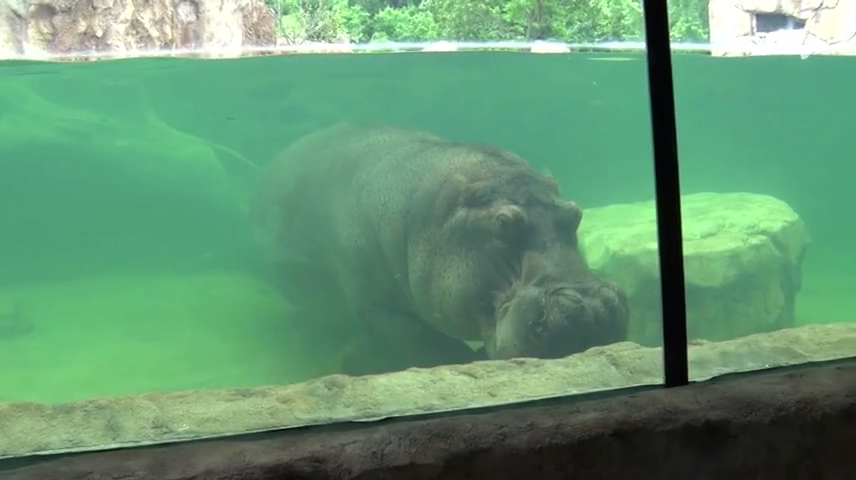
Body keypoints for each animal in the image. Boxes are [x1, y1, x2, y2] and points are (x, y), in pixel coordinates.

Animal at [250, 124, 629, 376]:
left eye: (575, 214)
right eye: (503, 224)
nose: (592, 309)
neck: (421, 209)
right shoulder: (381, 308)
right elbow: (436, 349)